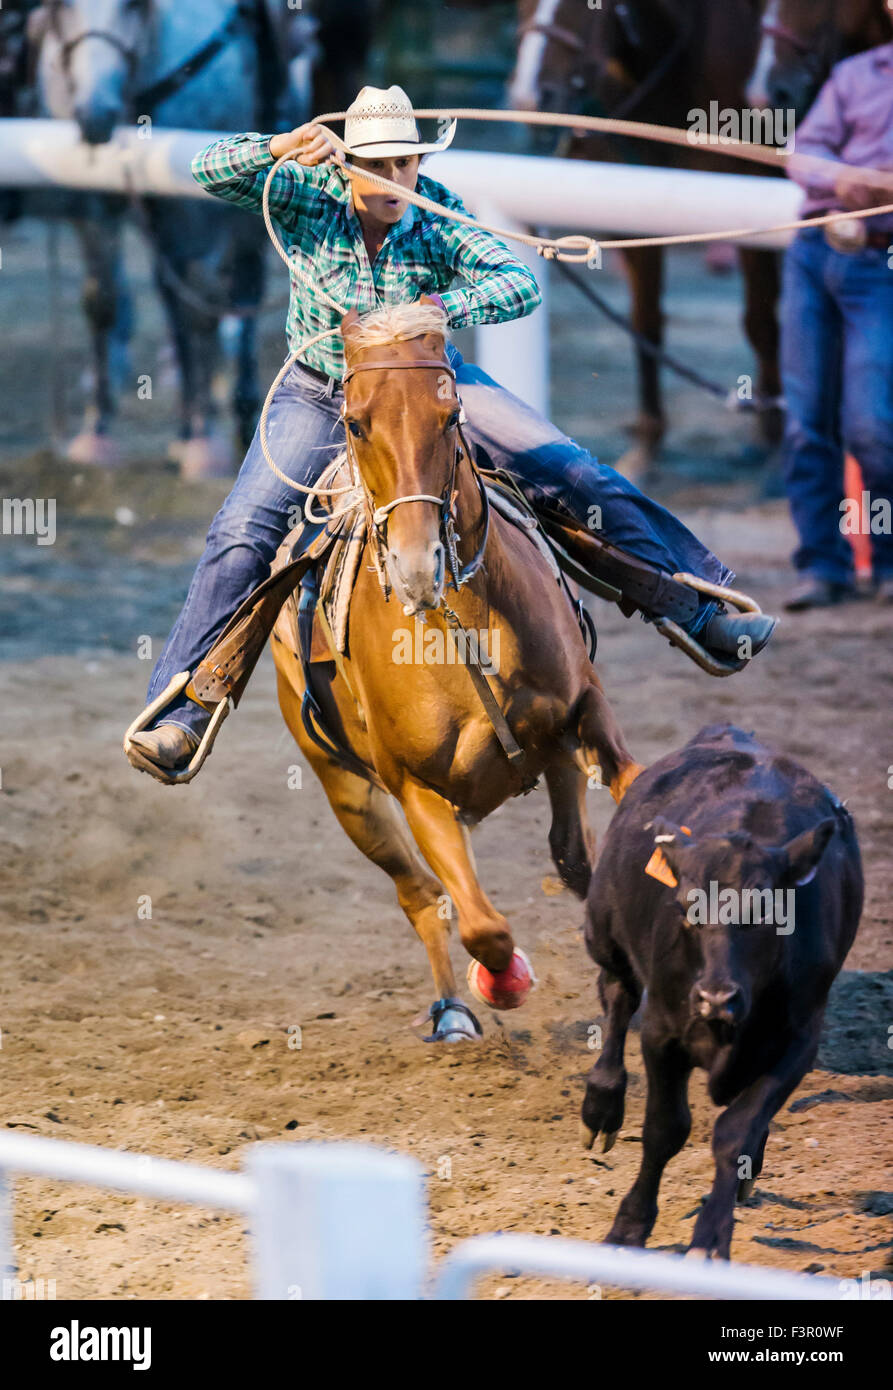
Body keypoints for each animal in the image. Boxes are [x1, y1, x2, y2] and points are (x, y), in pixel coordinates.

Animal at [580, 723, 863, 1259]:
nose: (715, 998)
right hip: (604, 931)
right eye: (687, 908)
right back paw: (601, 1103)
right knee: (617, 995)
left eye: (767, 910)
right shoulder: (662, 1034)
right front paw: (629, 1227)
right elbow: (665, 1129)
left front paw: (711, 1238)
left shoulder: (797, 1044)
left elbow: (735, 1136)